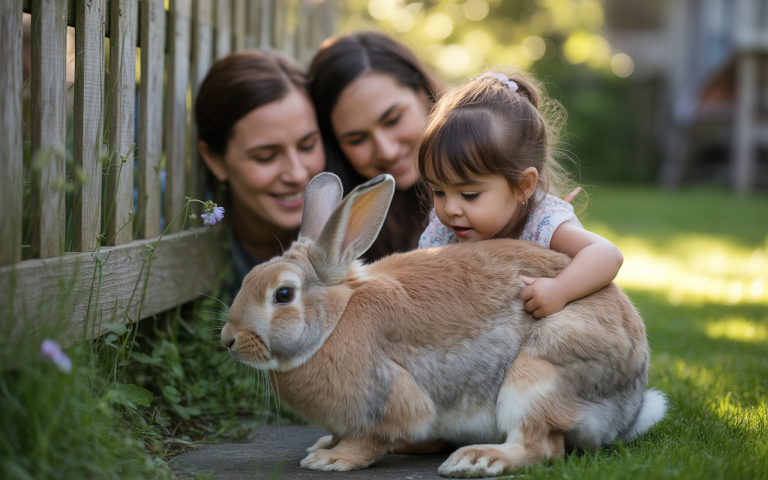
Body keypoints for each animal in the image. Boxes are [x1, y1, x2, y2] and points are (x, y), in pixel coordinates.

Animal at [221, 172, 667, 478]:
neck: (336, 318)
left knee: (542, 446)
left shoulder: (387, 398)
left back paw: (478, 459)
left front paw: (331, 459)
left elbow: (367, 441)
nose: (228, 340)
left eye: (283, 295)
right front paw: (323, 444)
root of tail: (629, 405)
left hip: (538, 373)